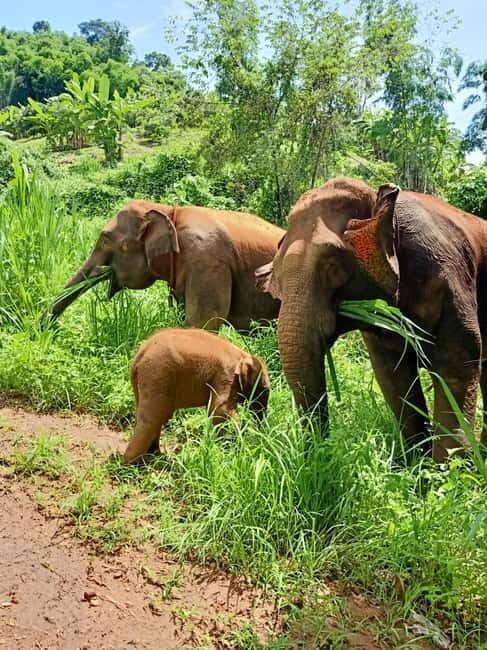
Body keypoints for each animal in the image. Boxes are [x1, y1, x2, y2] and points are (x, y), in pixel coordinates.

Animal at [125, 328, 270, 463]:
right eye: (265, 390)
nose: (262, 430)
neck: (242, 354)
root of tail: (140, 354)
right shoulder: (226, 375)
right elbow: (219, 411)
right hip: (158, 373)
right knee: (153, 416)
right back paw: (131, 463)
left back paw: (155, 454)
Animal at [256, 176, 487, 462]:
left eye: (332, 263)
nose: (321, 454)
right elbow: (393, 375)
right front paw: (415, 466)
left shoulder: (449, 276)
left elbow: (456, 364)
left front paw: (446, 468)